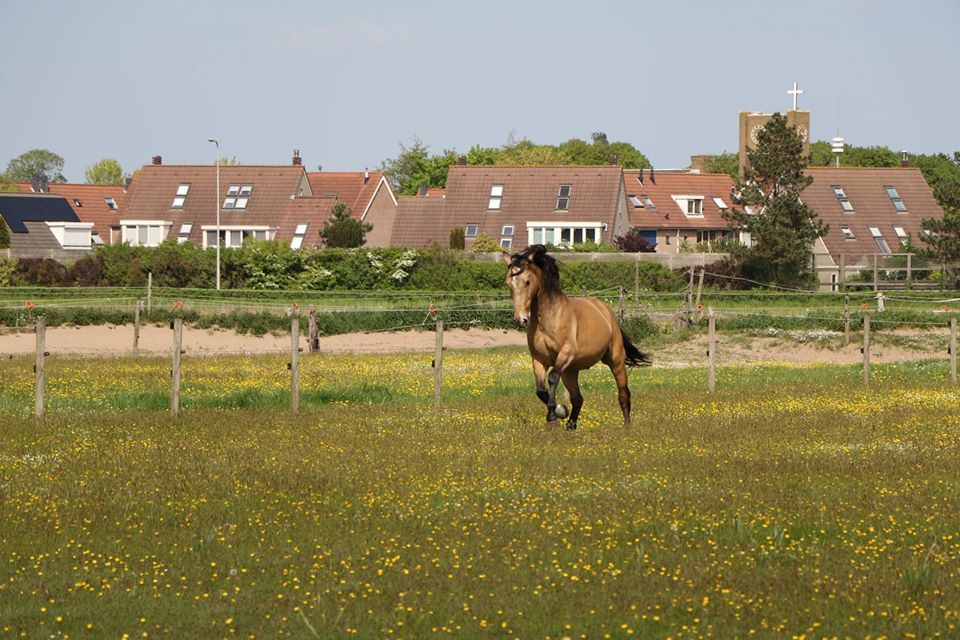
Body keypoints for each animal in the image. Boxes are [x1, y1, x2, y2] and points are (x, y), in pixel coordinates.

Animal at [504, 244, 651, 429]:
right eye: (508, 284)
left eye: (527, 282)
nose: (520, 319)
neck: (548, 317)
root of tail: (605, 310)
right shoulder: (538, 359)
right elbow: (541, 390)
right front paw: (559, 411)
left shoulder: (566, 353)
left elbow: (552, 378)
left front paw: (554, 413)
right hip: (570, 371)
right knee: (578, 399)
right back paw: (570, 426)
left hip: (615, 361)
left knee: (623, 394)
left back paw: (627, 427)